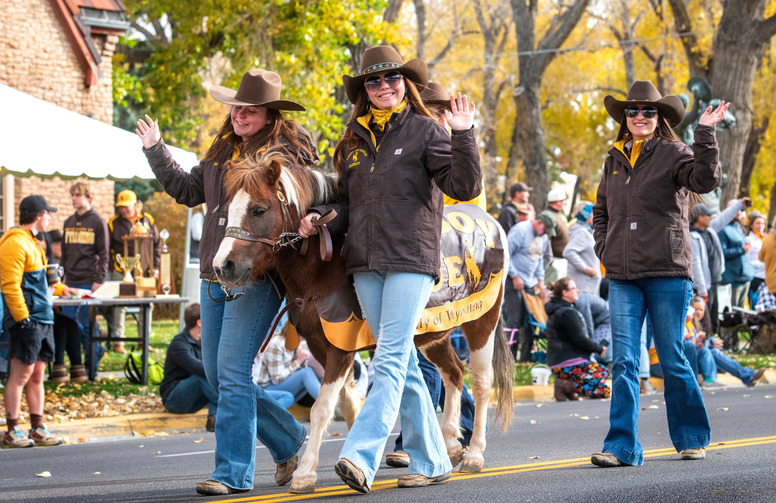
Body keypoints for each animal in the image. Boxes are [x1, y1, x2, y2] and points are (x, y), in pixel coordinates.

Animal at [214, 152, 516, 494]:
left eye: (259, 209)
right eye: (228, 210)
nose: (223, 266)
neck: (324, 263)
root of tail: (490, 221)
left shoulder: (340, 349)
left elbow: (321, 409)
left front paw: (305, 473)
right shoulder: (320, 347)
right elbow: (347, 406)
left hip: (482, 321)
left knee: (481, 383)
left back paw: (474, 453)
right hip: (434, 335)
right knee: (453, 372)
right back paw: (450, 444)